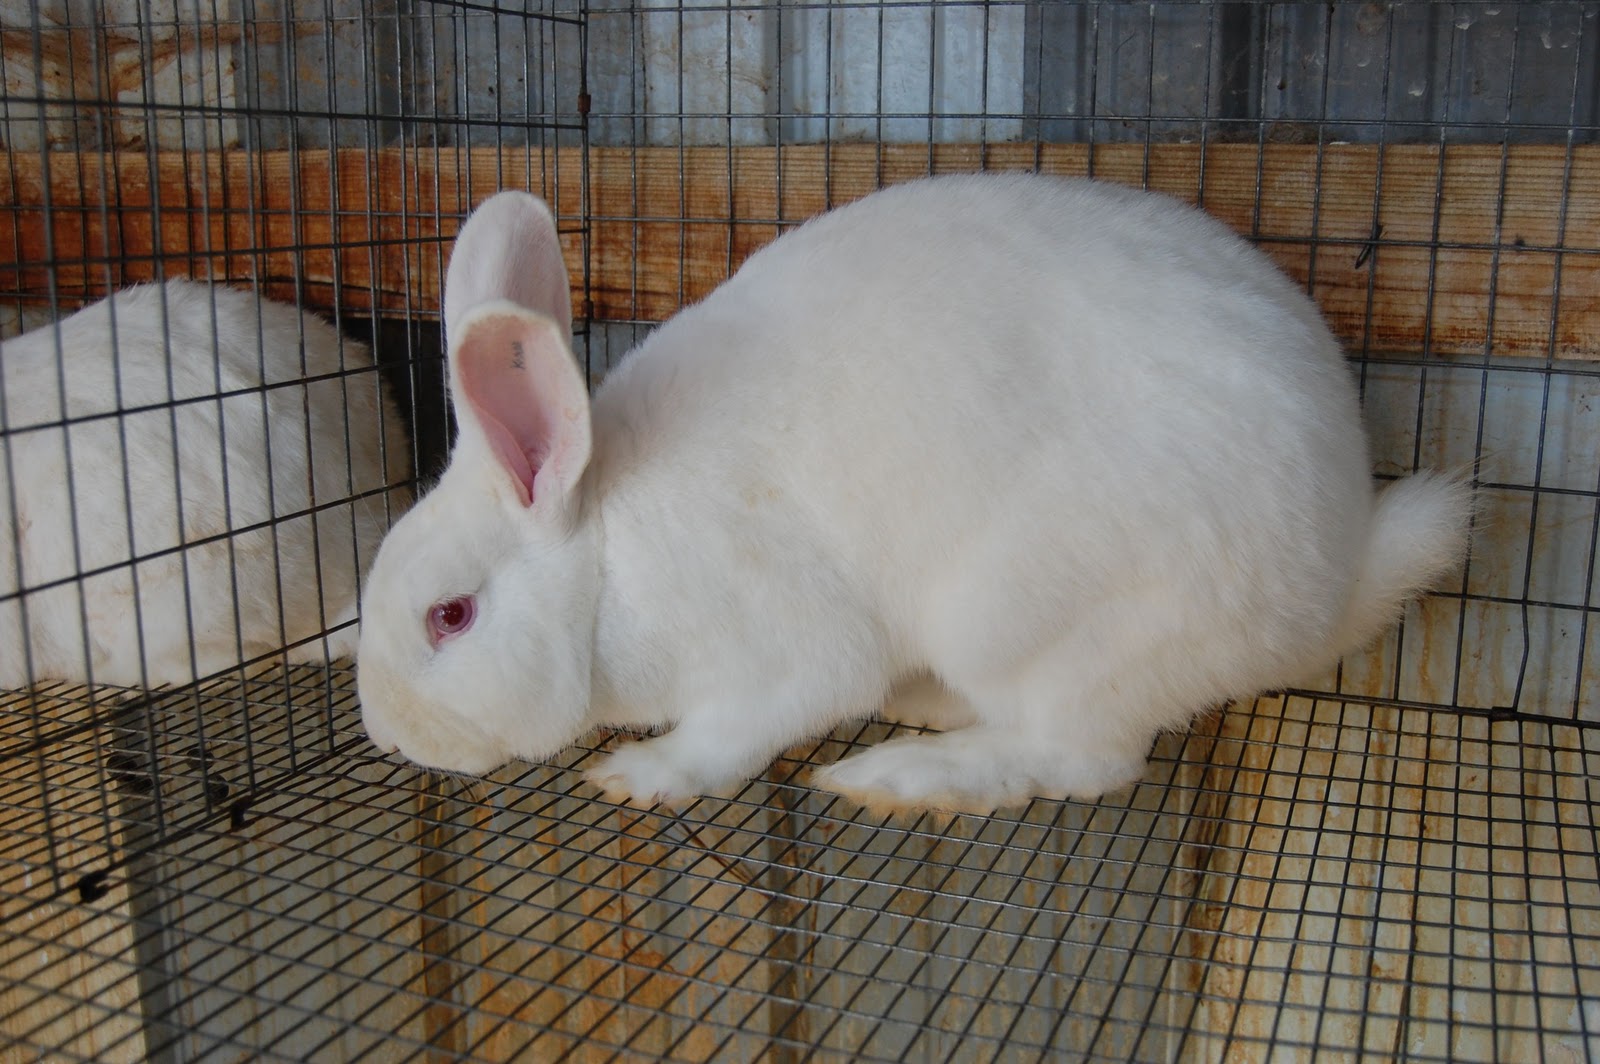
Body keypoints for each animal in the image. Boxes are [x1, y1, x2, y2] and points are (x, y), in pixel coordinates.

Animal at [356, 172, 1473, 815]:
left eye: (450, 616)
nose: (388, 738)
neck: (605, 558)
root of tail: (1335, 579)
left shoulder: (779, 645)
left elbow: (744, 725)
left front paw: (642, 775)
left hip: (1040, 622)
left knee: (1081, 757)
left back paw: (896, 777)